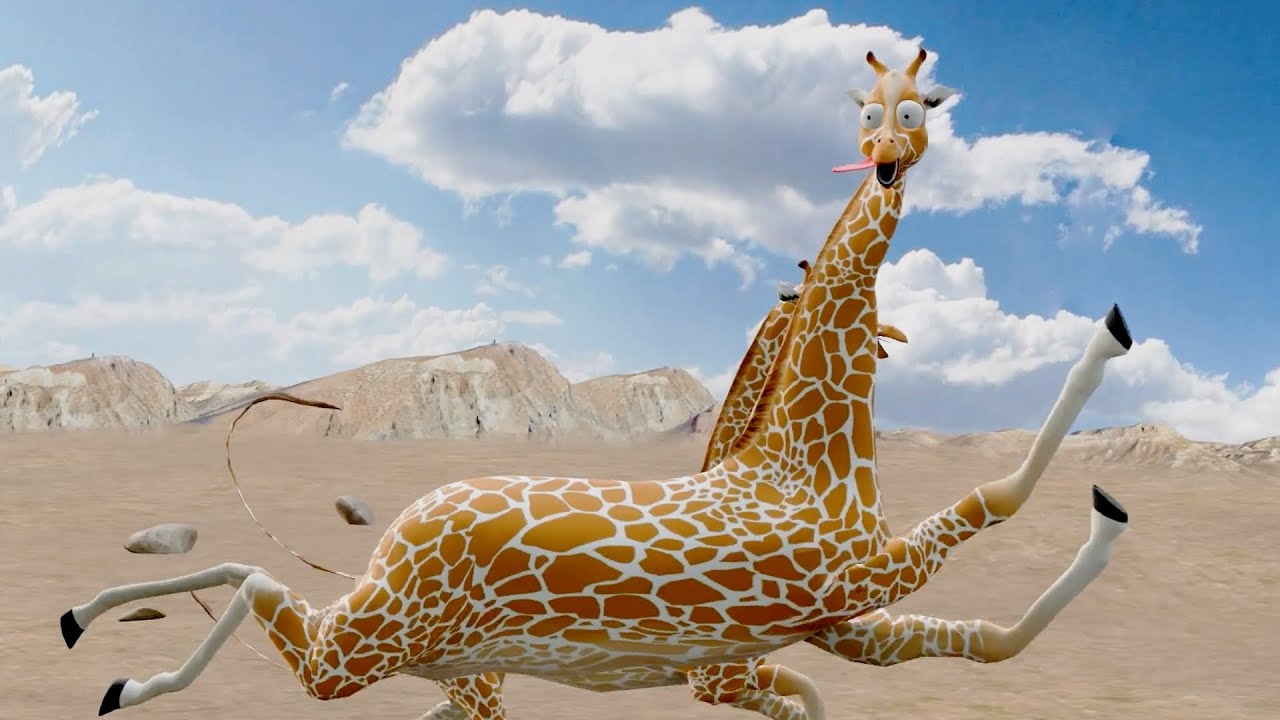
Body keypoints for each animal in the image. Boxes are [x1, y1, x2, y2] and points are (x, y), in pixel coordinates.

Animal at [62, 49, 1136, 720]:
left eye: (916, 112)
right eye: (871, 113)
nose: (882, 163)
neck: (798, 459)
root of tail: (404, 529)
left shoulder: (825, 624)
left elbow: (974, 636)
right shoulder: (853, 581)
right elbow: (992, 505)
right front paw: (1109, 364)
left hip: (432, 660)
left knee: (261, 583)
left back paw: (102, 639)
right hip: (374, 641)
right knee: (265, 592)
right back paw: (118, 664)